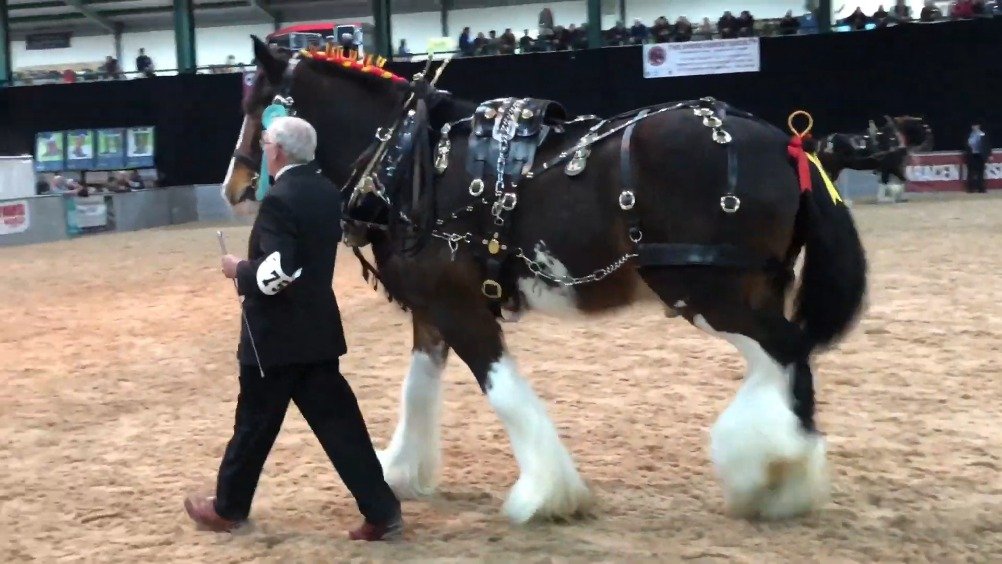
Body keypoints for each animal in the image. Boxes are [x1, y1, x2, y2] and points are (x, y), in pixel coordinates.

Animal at [221, 37, 868, 525]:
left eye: (255, 106)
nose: (233, 186)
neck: (408, 160)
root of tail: (788, 144)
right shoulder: (432, 310)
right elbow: (418, 388)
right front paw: (399, 469)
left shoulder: (460, 309)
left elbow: (502, 390)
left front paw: (546, 494)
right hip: (742, 289)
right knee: (783, 364)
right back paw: (776, 472)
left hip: (704, 290)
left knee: (784, 352)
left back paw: (777, 470)